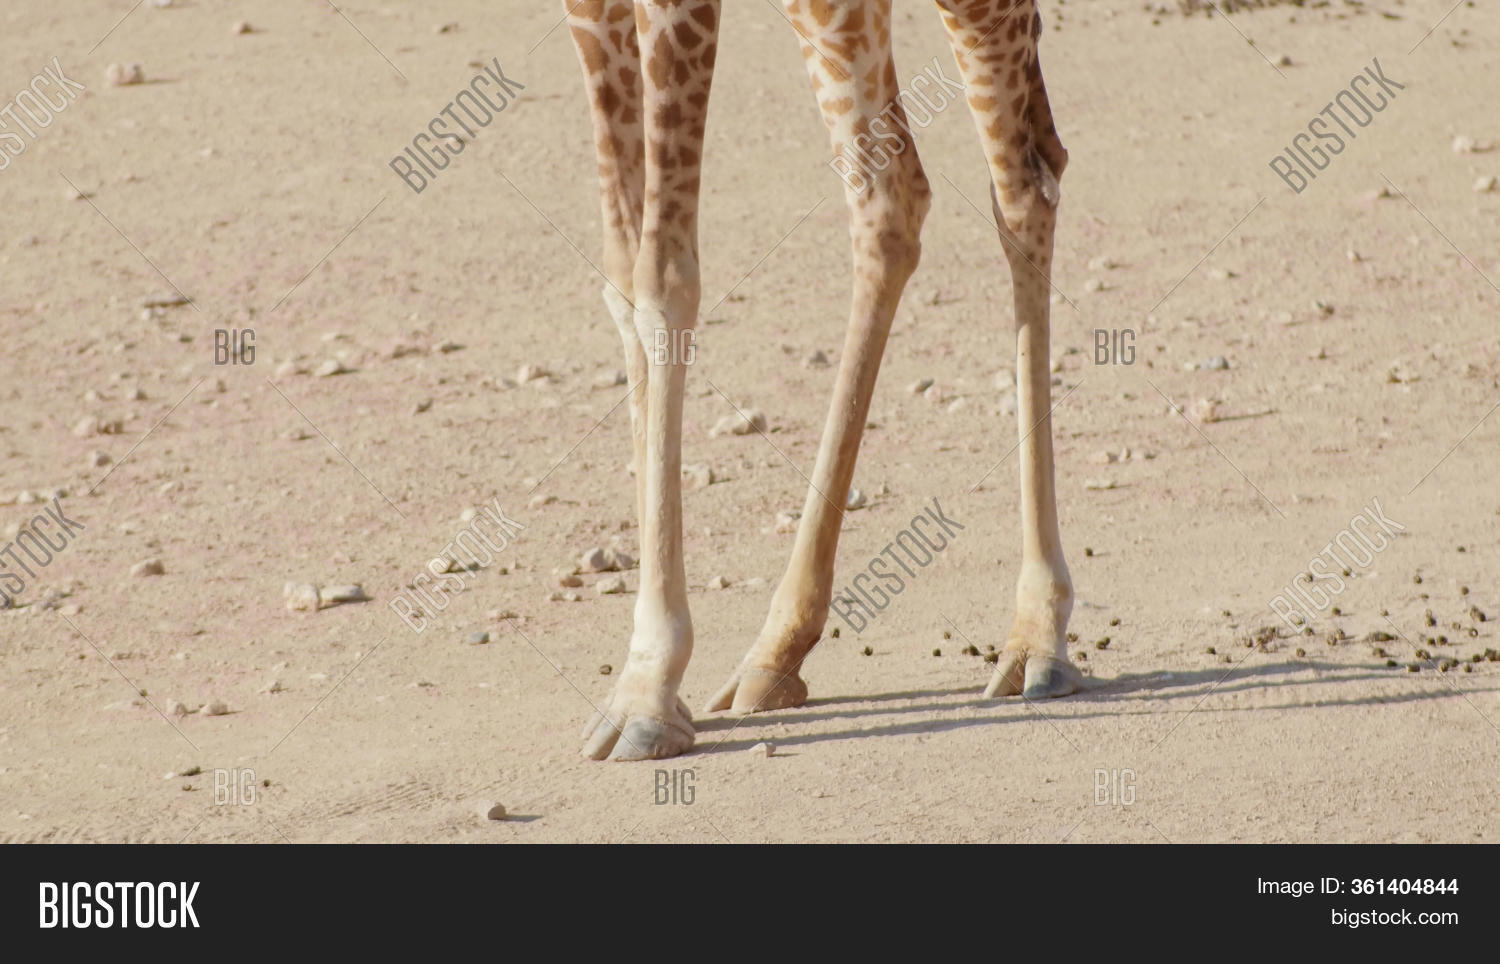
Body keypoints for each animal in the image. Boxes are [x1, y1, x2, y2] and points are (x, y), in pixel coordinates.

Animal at [569, 0, 1078, 760]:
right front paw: (646, 683)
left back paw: (1036, 638)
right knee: (894, 194)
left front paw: (647, 692)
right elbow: (622, 274)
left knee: (1023, 175)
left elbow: (665, 275)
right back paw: (775, 651)